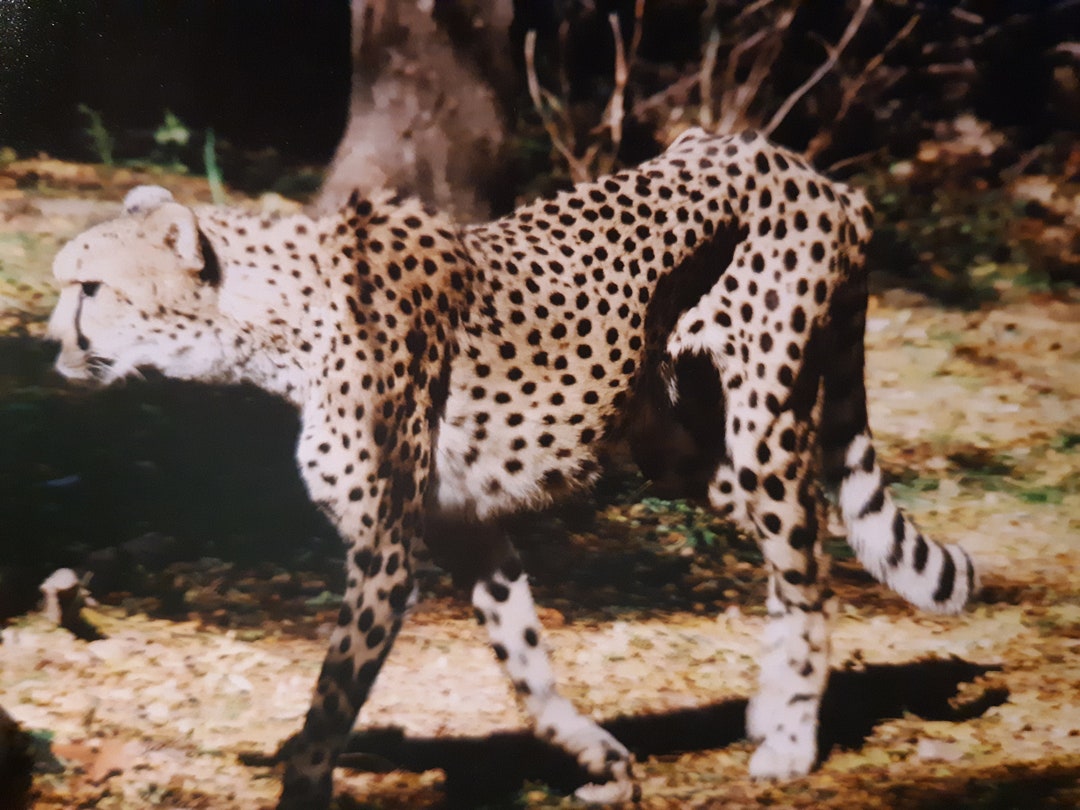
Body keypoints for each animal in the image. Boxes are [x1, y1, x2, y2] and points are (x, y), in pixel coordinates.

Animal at [47, 128, 976, 808]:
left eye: (90, 288)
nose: (54, 350)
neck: (269, 320)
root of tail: (814, 172)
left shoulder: (386, 553)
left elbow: (331, 700)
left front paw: (302, 786)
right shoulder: (466, 528)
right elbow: (526, 666)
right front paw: (601, 761)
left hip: (763, 424)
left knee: (808, 565)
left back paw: (790, 738)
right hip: (681, 452)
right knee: (796, 550)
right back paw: (767, 708)